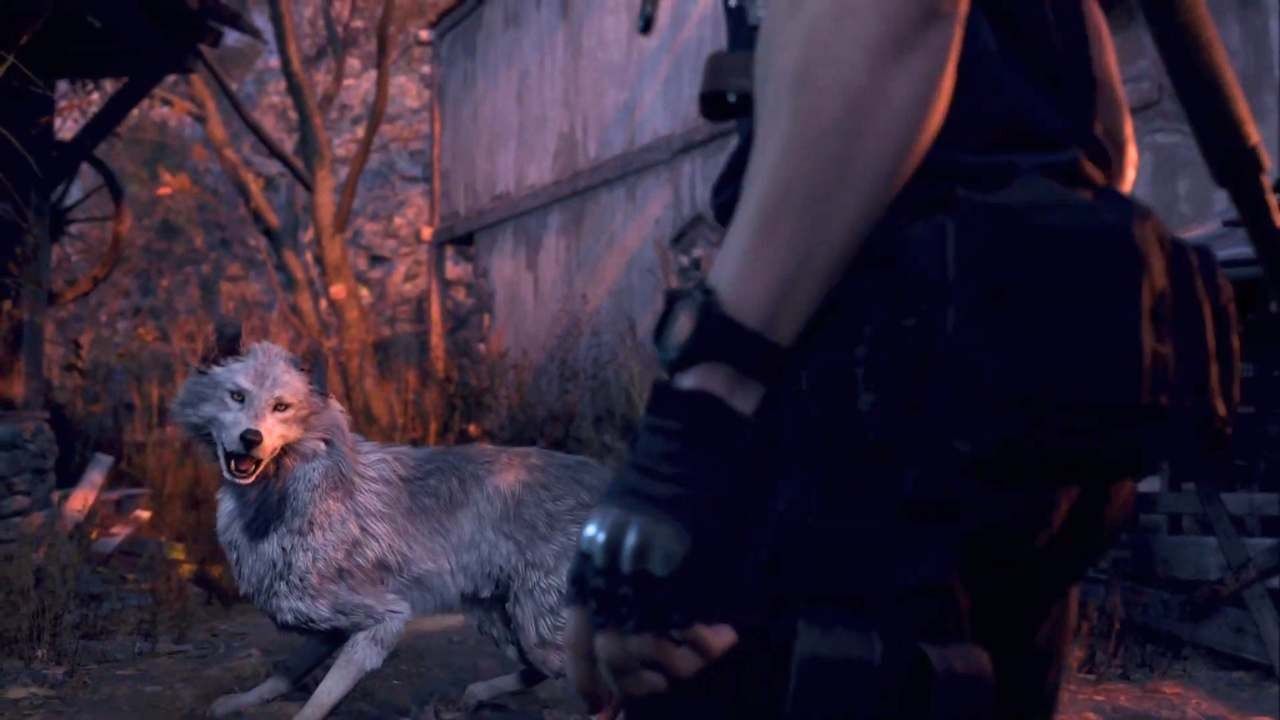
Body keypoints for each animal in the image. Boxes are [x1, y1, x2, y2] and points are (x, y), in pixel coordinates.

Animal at [172, 329, 610, 720]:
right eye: (237, 396)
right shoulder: (325, 623)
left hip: (539, 627)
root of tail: (604, 482)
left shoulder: (383, 617)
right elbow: (285, 673)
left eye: (282, 407)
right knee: (538, 672)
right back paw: (470, 697)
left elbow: (318, 701)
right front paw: (239, 701)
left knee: (600, 693)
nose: (251, 438)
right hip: (502, 618)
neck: (292, 492)